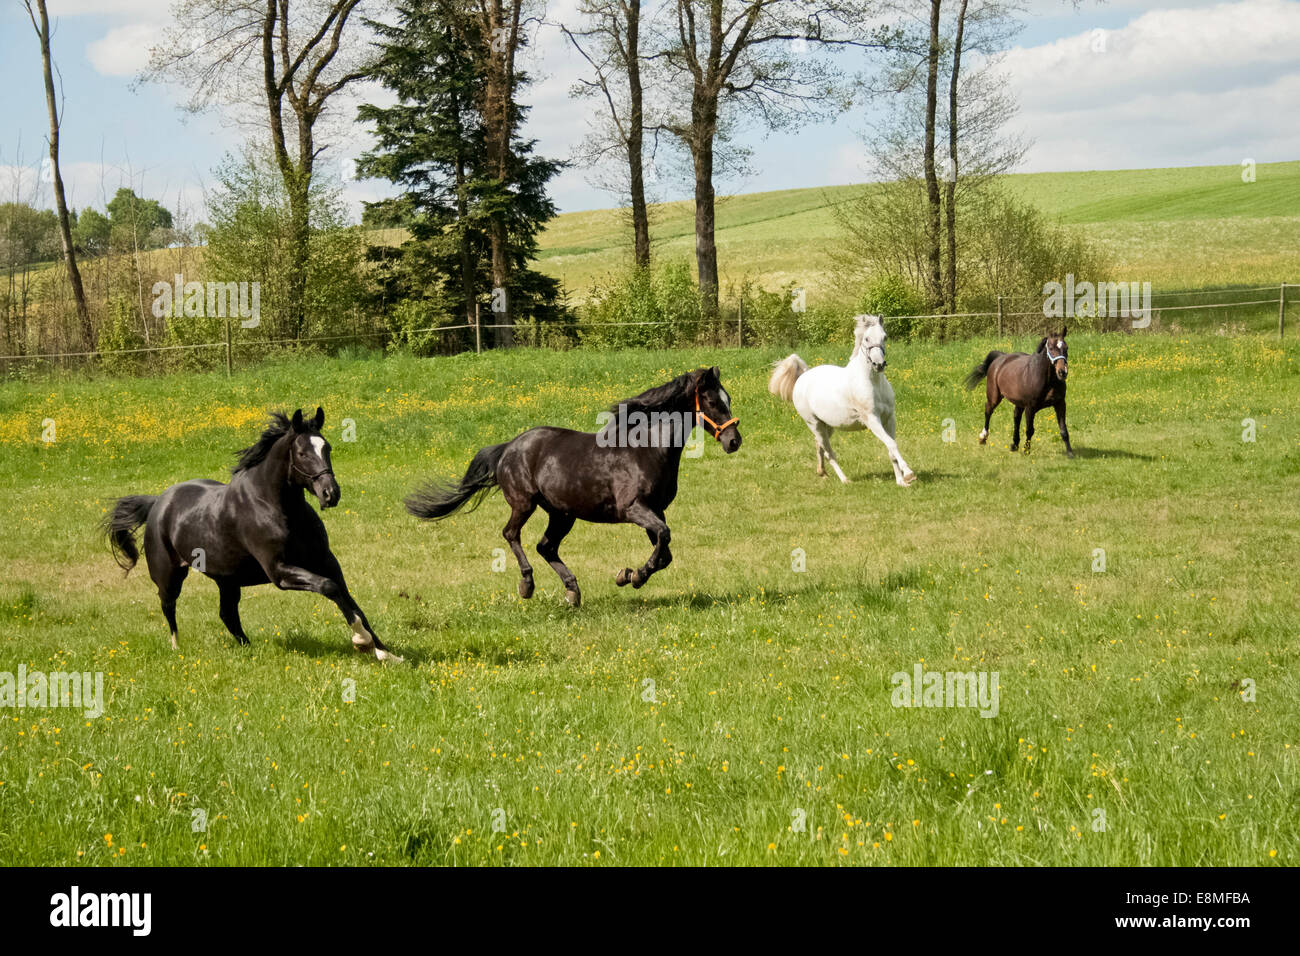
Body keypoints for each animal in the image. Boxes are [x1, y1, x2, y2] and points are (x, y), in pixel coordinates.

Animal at [102, 408, 402, 661]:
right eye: (302, 453)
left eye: (327, 447)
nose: (331, 494)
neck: (277, 507)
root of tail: (157, 503)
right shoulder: (279, 571)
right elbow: (330, 587)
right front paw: (361, 641)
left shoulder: (326, 561)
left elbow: (349, 599)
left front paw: (385, 652)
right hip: (170, 575)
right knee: (168, 606)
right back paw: (177, 648)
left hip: (227, 580)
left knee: (227, 614)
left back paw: (248, 648)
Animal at [405, 366, 741, 607]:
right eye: (713, 401)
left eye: (728, 400)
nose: (734, 441)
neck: (649, 448)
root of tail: (509, 447)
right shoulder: (634, 509)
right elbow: (663, 539)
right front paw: (632, 577)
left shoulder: (655, 510)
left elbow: (664, 551)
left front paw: (629, 575)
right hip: (524, 504)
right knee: (511, 535)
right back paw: (527, 585)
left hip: (562, 514)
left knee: (546, 546)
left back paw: (572, 591)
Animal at [768, 313, 916, 486]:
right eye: (866, 339)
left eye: (884, 337)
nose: (879, 364)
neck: (873, 382)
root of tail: (804, 375)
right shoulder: (872, 420)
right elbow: (891, 443)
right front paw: (909, 474)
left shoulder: (889, 418)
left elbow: (891, 448)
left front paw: (901, 482)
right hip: (815, 424)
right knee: (829, 452)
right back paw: (845, 480)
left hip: (828, 426)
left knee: (819, 446)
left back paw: (822, 473)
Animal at [963, 327, 1075, 457]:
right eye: (1051, 348)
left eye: (1066, 348)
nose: (1062, 372)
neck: (1047, 380)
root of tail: (1001, 357)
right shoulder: (1030, 407)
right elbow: (1030, 430)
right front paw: (1027, 451)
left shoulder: (1060, 404)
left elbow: (1064, 430)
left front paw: (1070, 453)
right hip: (994, 397)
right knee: (988, 410)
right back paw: (983, 438)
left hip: (1019, 403)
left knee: (1016, 417)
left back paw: (1014, 445)